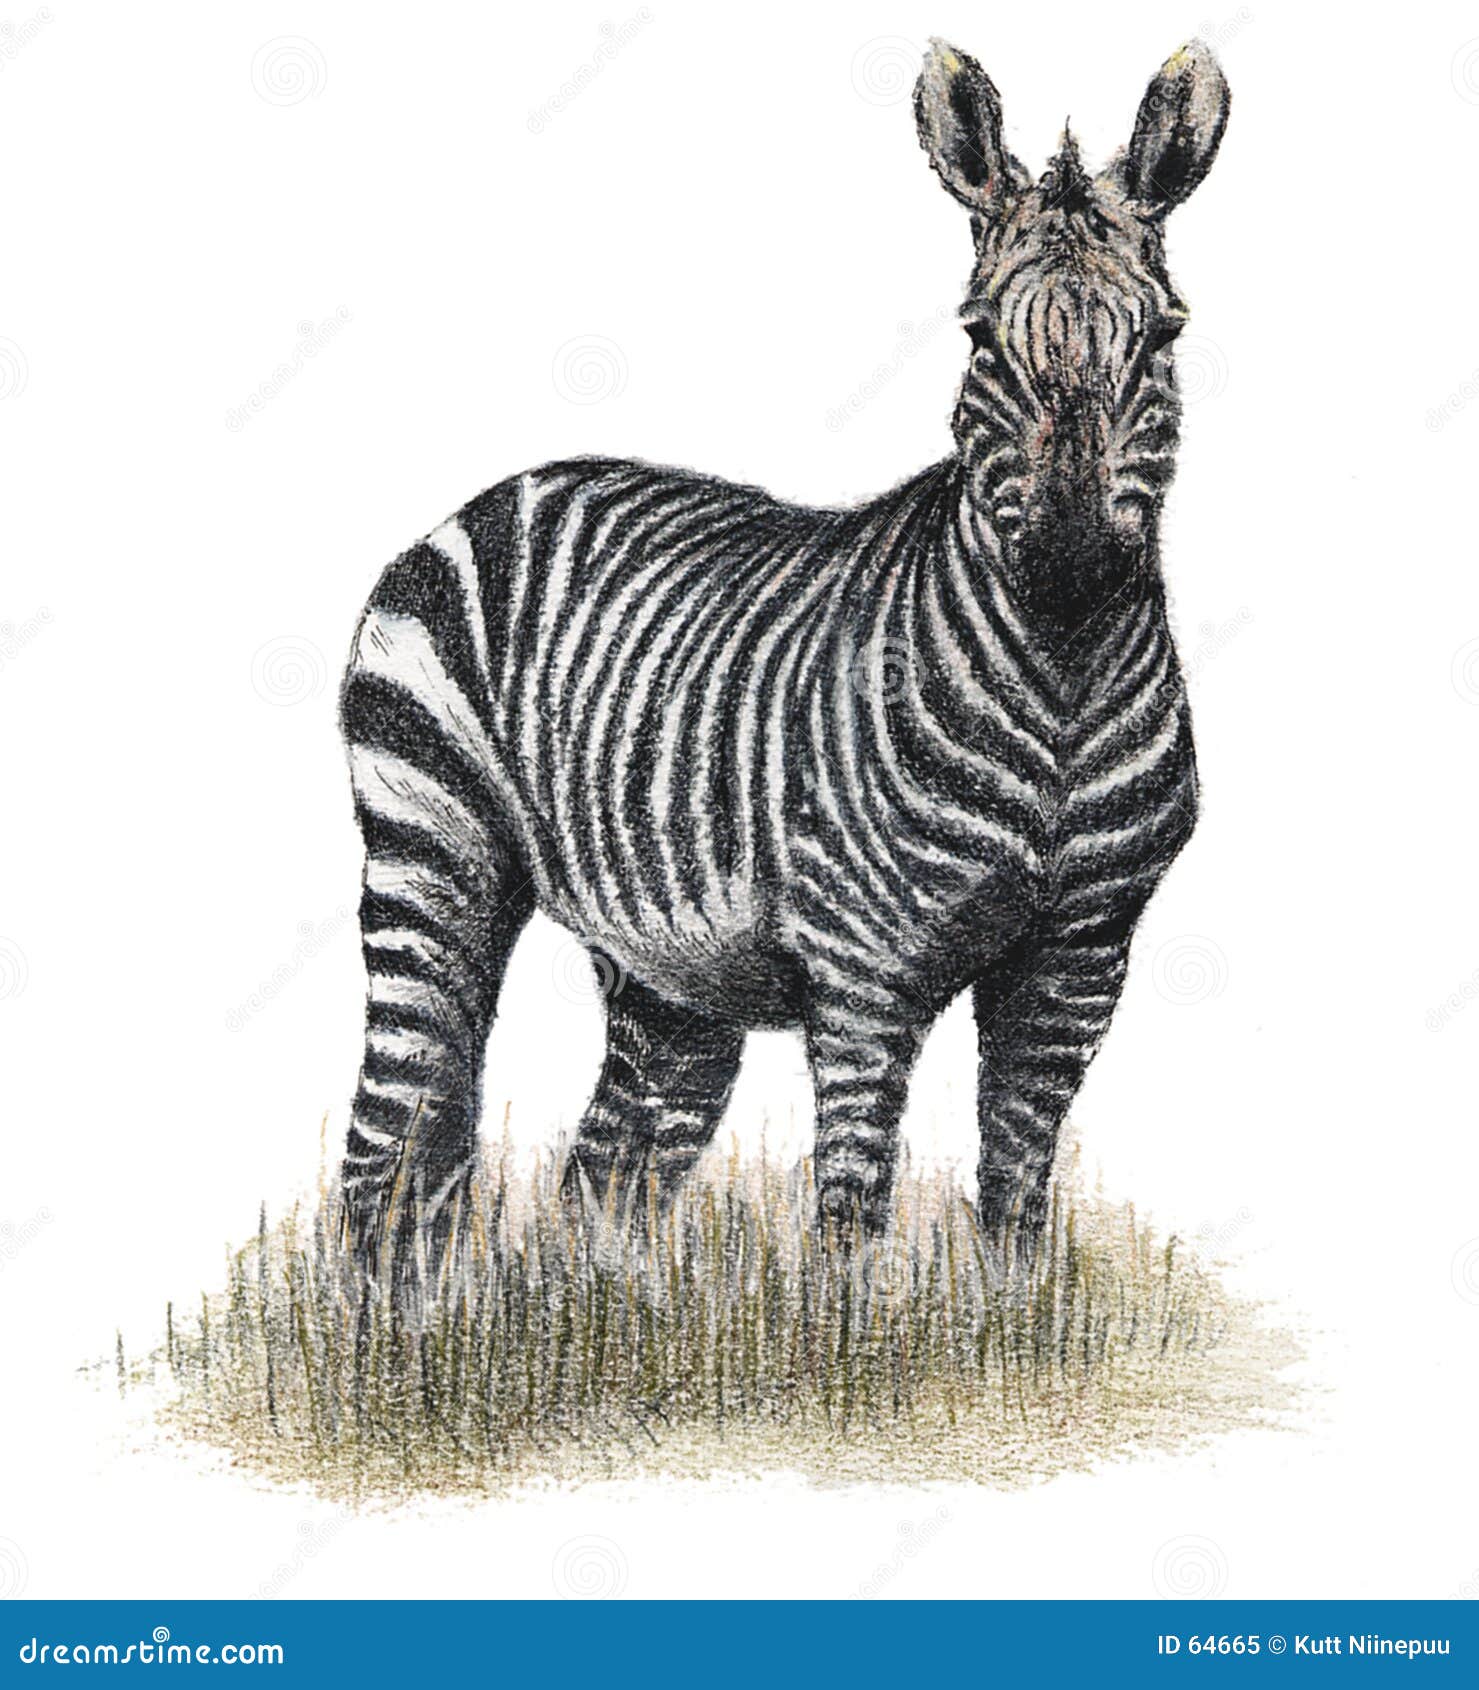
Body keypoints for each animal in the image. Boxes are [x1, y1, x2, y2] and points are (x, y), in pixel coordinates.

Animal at [339, 40, 1230, 1272]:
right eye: (977, 336)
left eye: (1163, 335)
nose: (1069, 563)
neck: (1061, 692)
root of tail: (514, 482)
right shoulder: (865, 968)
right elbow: (850, 1218)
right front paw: (859, 1325)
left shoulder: (1079, 958)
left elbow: (1016, 1205)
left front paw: (1009, 1317)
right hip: (430, 848)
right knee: (393, 1140)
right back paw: (396, 1317)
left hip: (665, 966)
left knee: (603, 1178)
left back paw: (596, 1318)